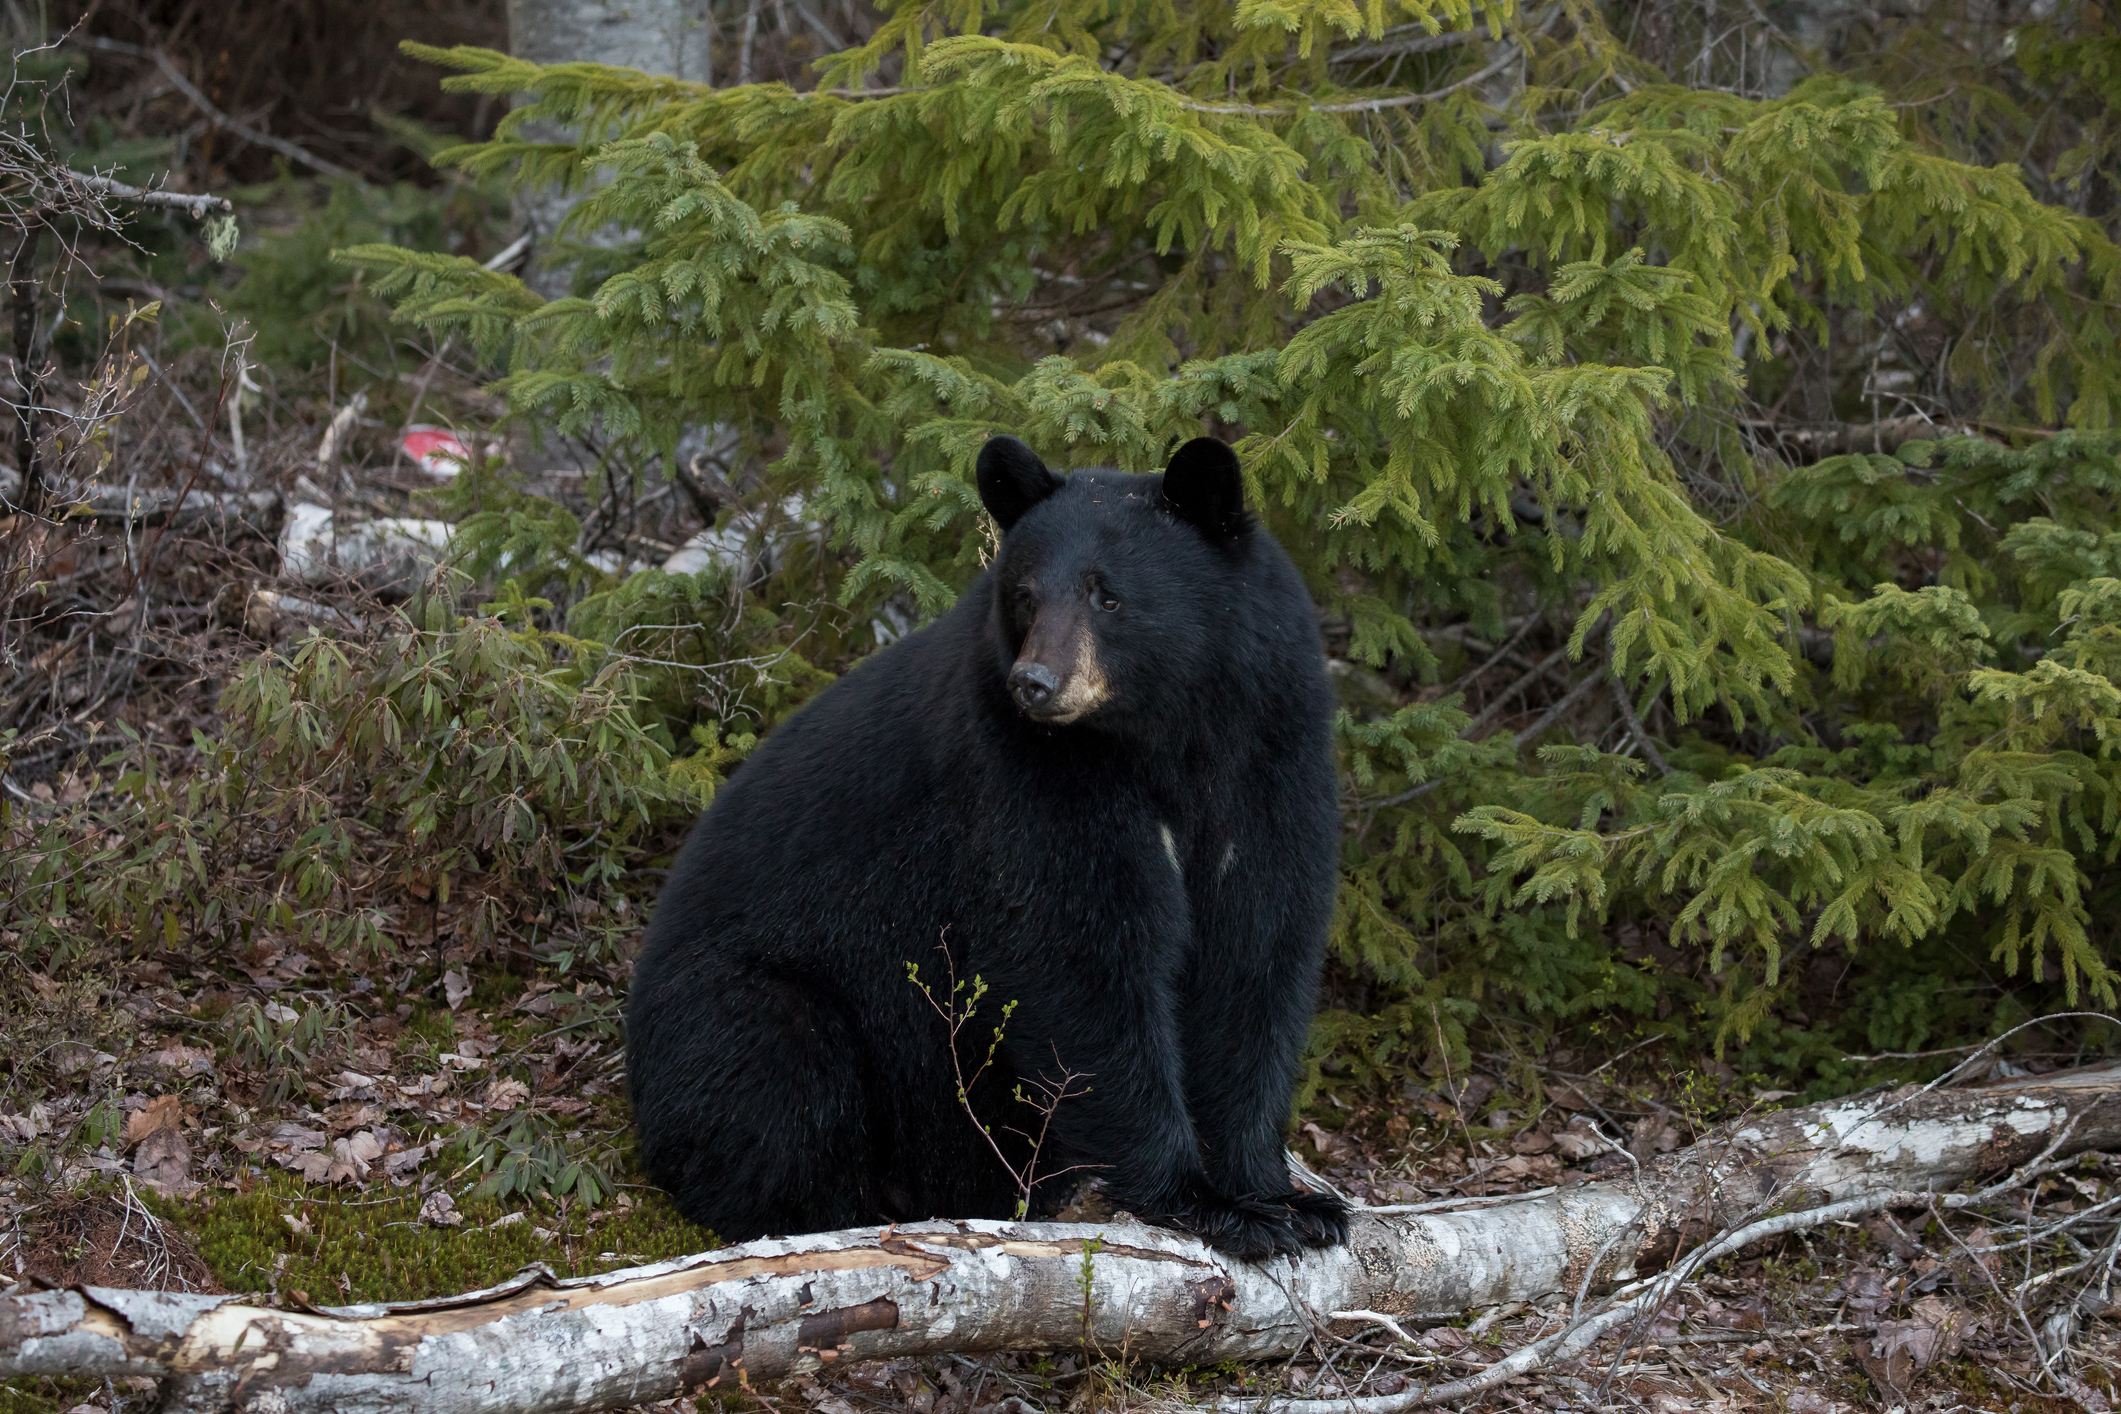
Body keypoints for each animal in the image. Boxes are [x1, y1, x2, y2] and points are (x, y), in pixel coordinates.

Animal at [624, 432, 1347, 1260]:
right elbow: (1079, 956)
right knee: (776, 1079)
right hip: (741, 1004)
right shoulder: (1020, 772)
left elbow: (1256, 953)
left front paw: (1283, 1197)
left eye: (1107, 595)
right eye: (1026, 594)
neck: (1169, 739)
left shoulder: (1267, 760)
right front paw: (1202, 1200)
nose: (1035, 682)